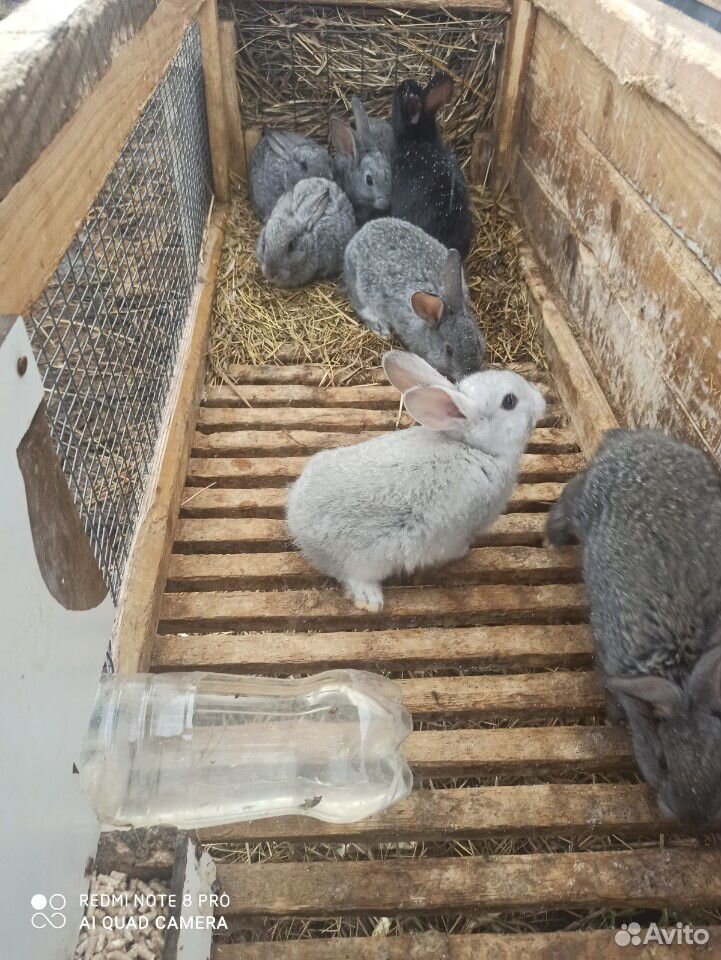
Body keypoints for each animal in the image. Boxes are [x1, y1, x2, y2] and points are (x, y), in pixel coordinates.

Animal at [286, 351, 546, 612]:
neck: (475, 448)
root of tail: (297, 526)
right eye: (509, 401)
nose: (541, 400)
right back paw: (372, 601)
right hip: (365, 561)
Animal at [344, 217, 485, 379]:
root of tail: (361, 233)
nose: (471, 372)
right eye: (449, 350)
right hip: (362, 295)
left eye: (477, 341)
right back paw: (381, 329)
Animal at [546, 428, 721, 830]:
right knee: (568, 499)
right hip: (584, 504)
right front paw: (613, 715)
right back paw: (550, 537)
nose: (696, 822)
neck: (679, 665)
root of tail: (627, 439)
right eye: (662, 762)